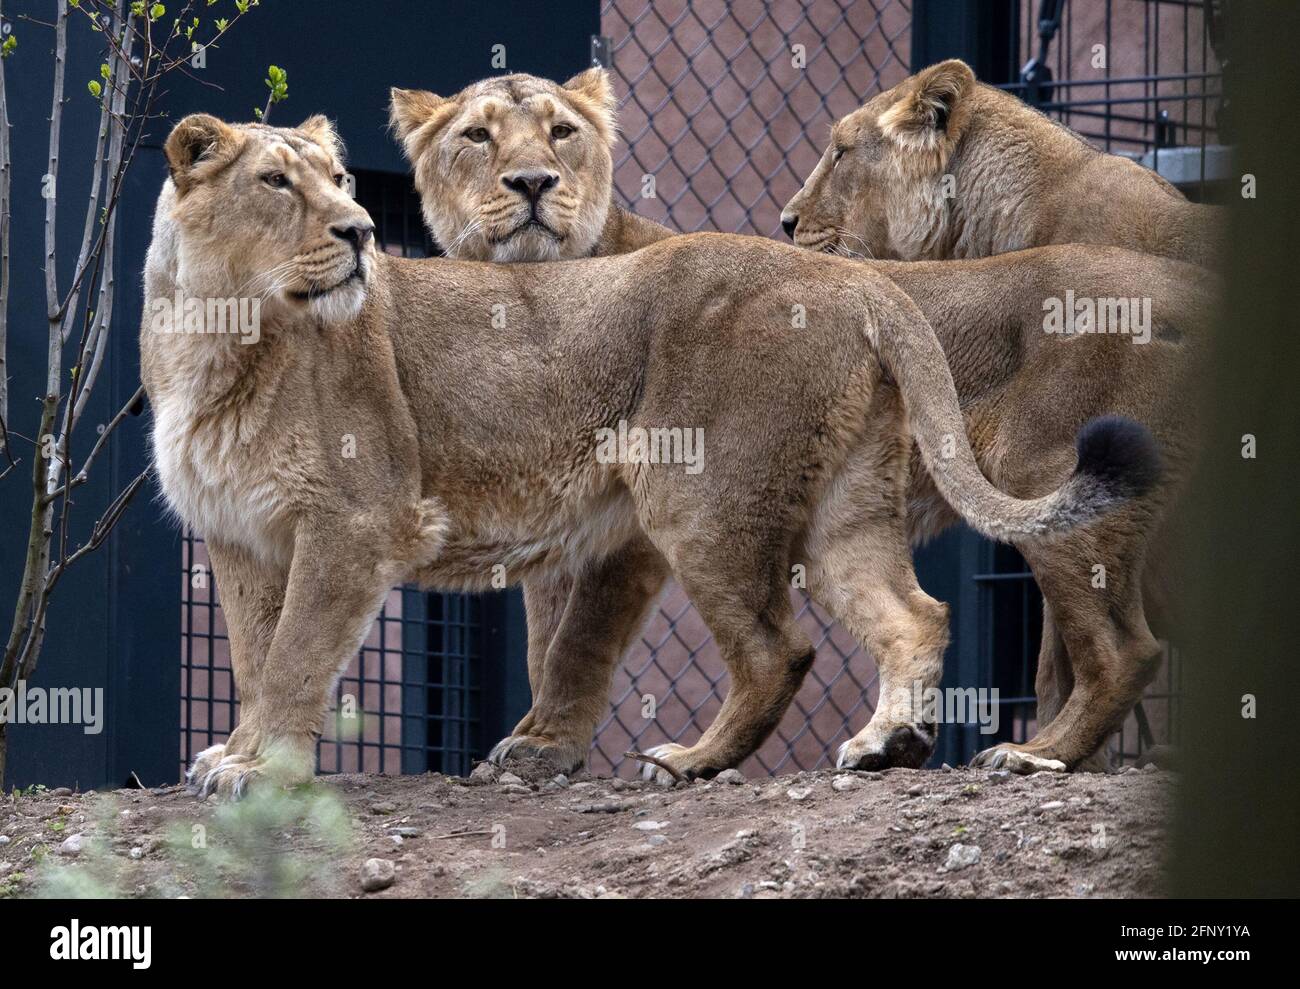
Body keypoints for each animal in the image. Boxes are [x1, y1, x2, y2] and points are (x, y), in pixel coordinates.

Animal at [141, 114, 1157, 795]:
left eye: (344, 179)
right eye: (276, 183)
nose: (357, 233)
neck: (215, 333)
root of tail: (855, 275)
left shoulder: (359, 518)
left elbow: (295, 654)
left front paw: (256, 770)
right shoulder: (241, 536)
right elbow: (253, 654)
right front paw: (235, 751)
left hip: (700, 498)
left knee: (779, 648)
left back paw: (696, 760)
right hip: (846, 505)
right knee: (914, 614)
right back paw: (887, 744)